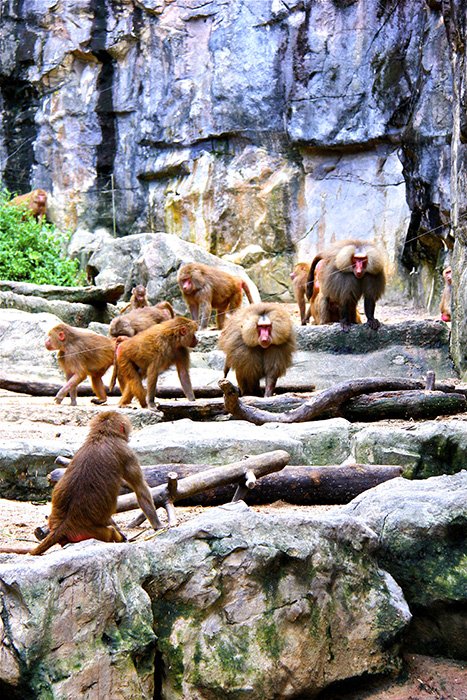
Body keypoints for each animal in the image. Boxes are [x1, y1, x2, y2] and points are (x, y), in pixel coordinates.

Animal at [19, 412, 162, 555]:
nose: (129, 437)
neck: (102, 435)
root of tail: (63, 525)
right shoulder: (127, 453)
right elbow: (141, 490)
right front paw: (159, 527)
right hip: (91, 532)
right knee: (110, 532)